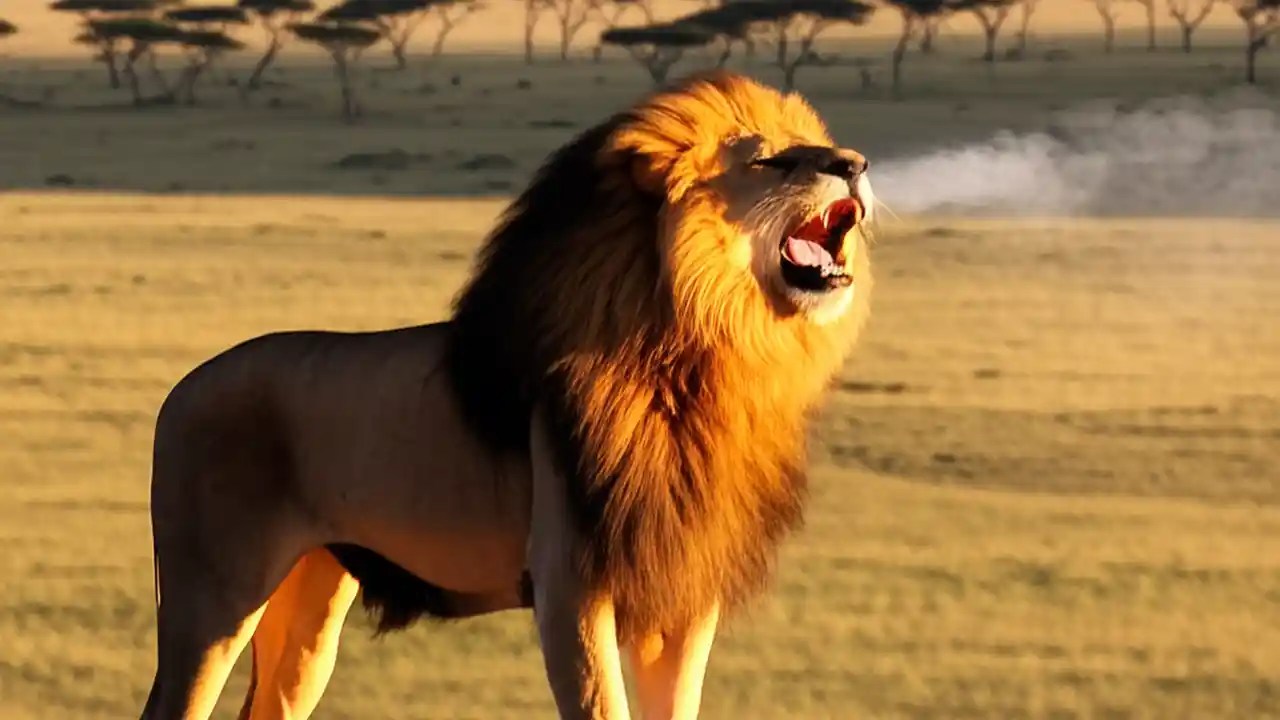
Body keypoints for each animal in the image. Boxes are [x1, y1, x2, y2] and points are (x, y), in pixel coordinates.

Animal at [139, 70, 875, 720]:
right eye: (772, 160)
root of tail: (181, 389)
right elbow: (600, 706)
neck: (698, 359)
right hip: (212, 599)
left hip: (308, 610)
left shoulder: (684, 597)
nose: (857, 163)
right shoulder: (569, 587)